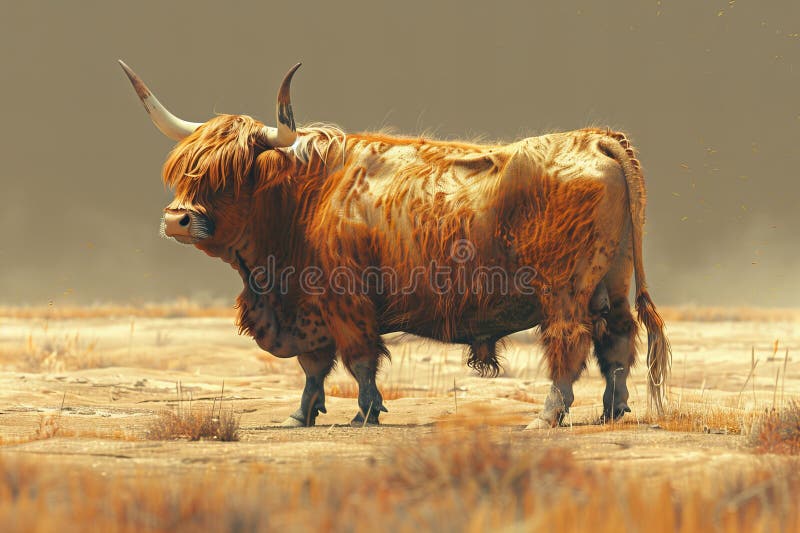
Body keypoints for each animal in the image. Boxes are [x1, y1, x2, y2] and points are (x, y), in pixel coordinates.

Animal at [119, 60, 670, 429]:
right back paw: (613, 411)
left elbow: (358, 361)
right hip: (611, 282)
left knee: (569, 342)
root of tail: (593, 137)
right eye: (181, 170)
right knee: (617, 340)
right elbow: (314, 368)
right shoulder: (309, 310)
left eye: (230, 173)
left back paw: (547, 417)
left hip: (564, 289)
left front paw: (364, 414)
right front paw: (302, 415)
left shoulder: (344, 301)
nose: (177, 218)